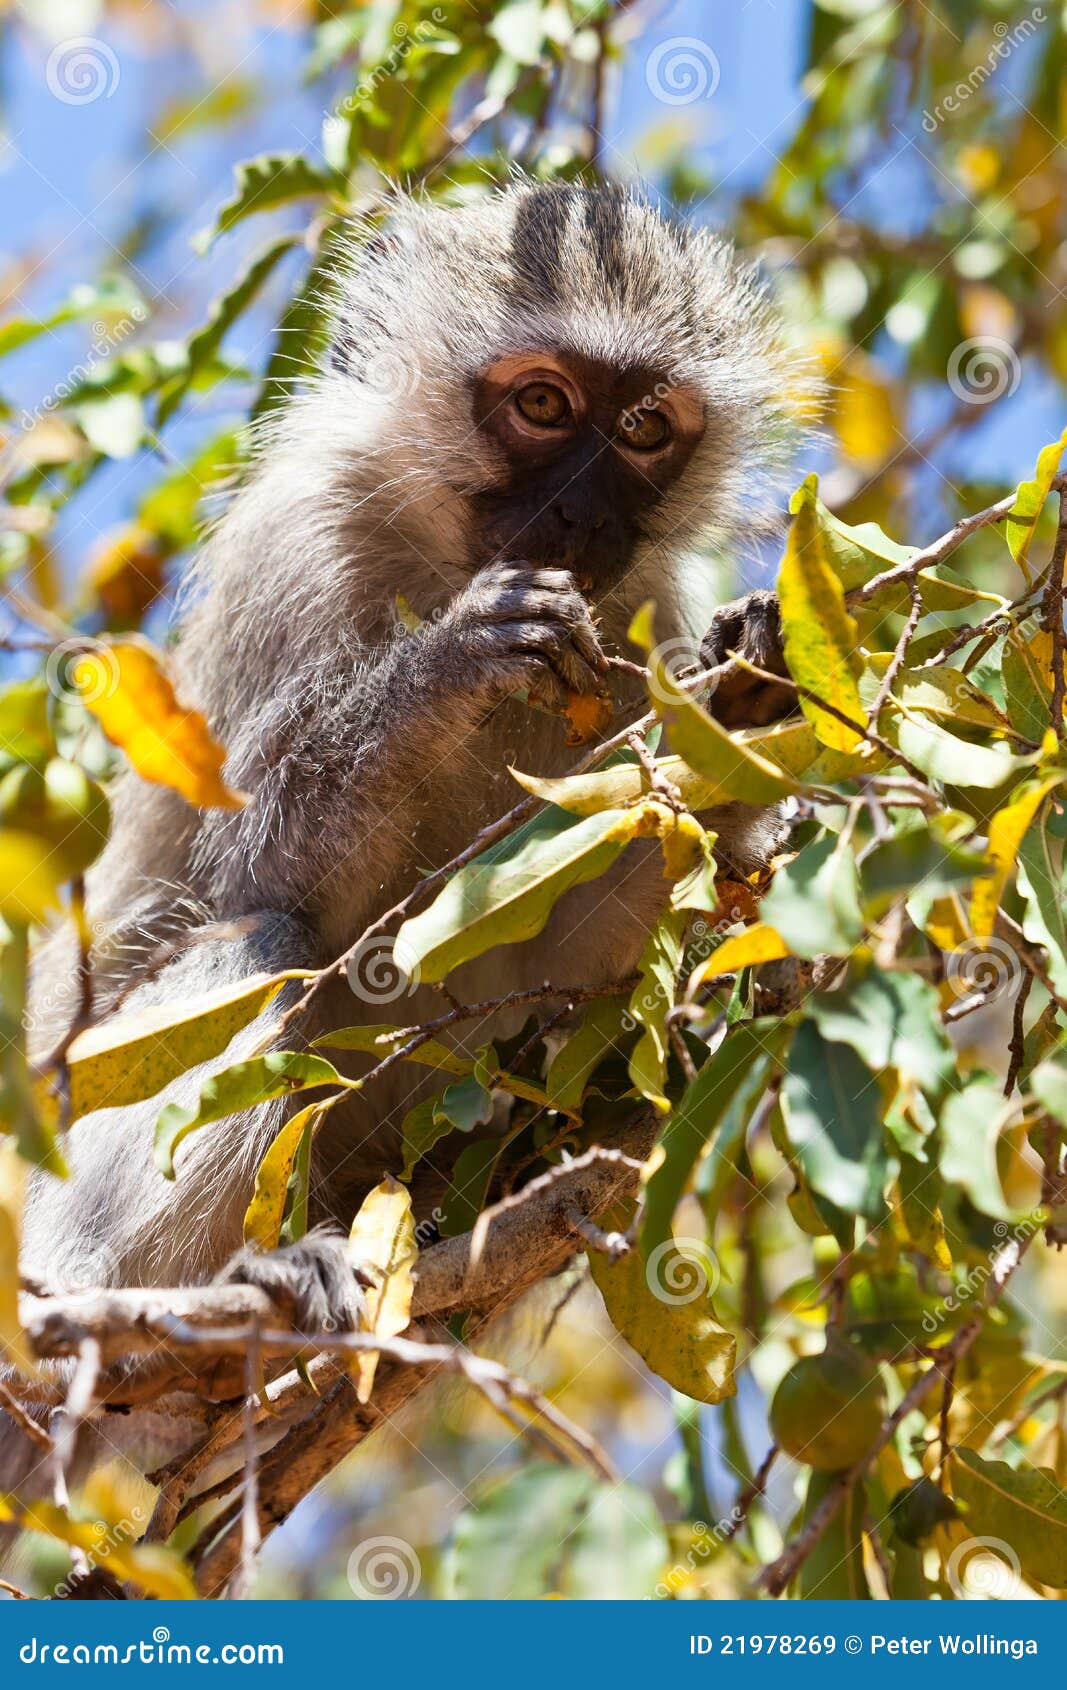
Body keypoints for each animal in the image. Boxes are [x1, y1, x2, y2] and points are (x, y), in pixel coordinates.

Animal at [4, 182, 801, 1490]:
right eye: (542, 404)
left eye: (644, 426)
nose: (581, 511)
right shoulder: (298, 539)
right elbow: (255, 871)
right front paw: (445, 671)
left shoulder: (646, 616)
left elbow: (570, 959)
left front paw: (740, 702)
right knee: (259, 941)